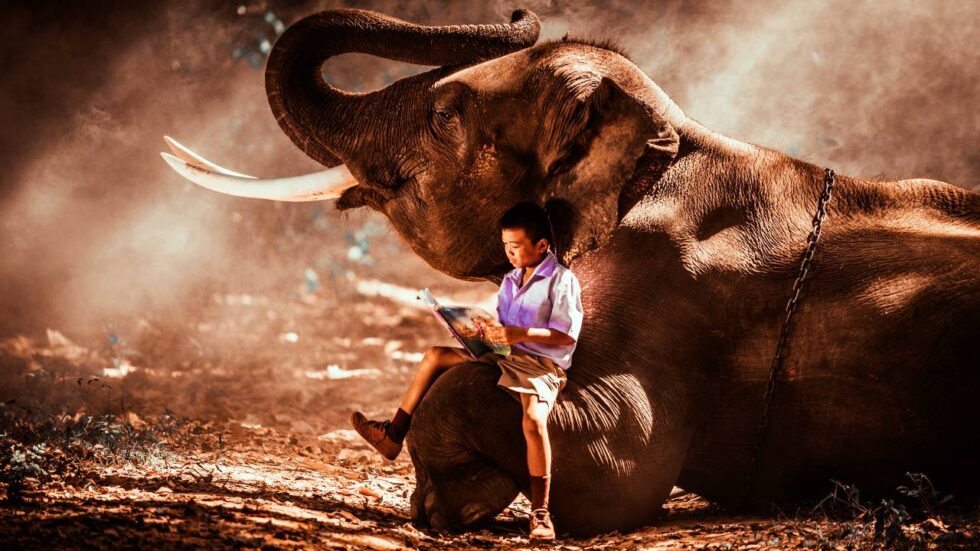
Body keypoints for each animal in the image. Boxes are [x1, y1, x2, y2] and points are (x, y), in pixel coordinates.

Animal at [161, 8, 980, 537]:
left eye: (445, 116)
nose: (522, 9)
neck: (668, 143)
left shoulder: (671, 289)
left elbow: (623, 460)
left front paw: (450, 503)